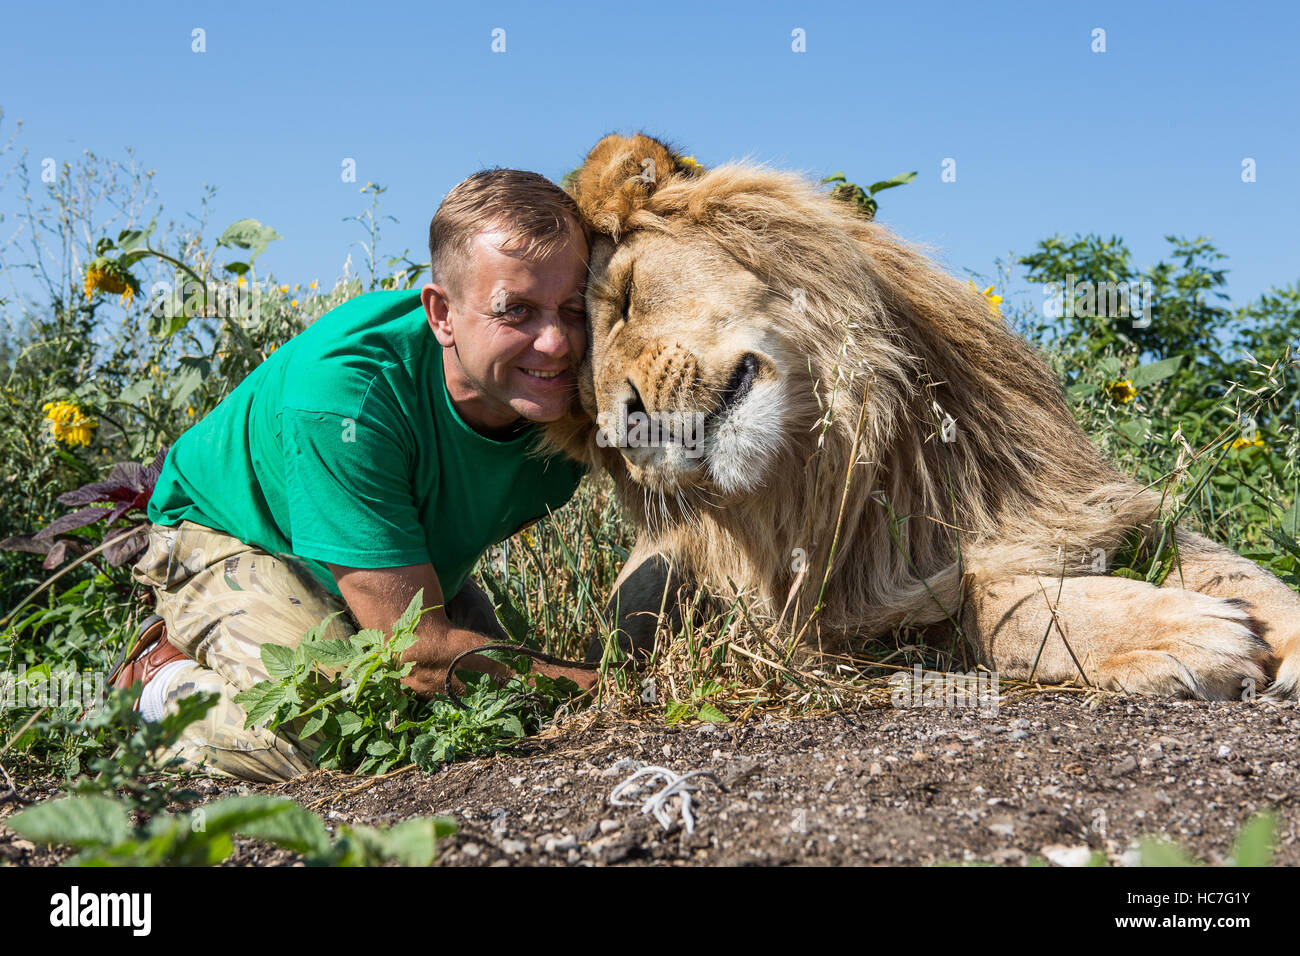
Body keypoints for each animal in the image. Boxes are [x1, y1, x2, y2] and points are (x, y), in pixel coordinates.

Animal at [545, 132, 1300, 701]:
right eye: (591, 413)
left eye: (627, 297)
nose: (627, 426)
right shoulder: (855, 624)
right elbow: (1000, 605)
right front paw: (1173, 632)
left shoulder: (1092, 506)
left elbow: (1245, 574)